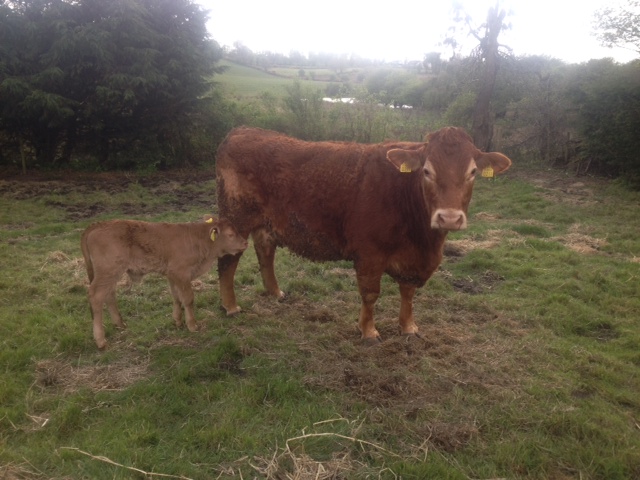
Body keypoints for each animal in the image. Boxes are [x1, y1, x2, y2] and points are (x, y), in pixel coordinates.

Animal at [81, 216, 248, 349]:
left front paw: (178, 321)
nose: (245, 243)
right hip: (107, 273)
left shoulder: (172, 276)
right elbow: (188, 299)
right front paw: (192, 325)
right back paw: (101, 340)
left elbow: (177, 297)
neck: (197, 239)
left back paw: (120, 324)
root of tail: (99, 224)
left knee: (109, 295)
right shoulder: (181, 274)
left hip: (111, 274)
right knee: (96, 296)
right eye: (230, 234)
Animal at [215, 126, 512, 342]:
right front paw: (368, 331)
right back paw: (230, 307)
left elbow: (408, 293)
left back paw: (275, 293)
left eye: (472, 172)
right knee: (227, 262)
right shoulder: (369, 253)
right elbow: (370, 294)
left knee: (265, 251)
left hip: (265, 223)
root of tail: (243, 131)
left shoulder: (412, 260)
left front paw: (408, 327)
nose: (449, 217)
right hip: (235, 220)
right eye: (427, 171)